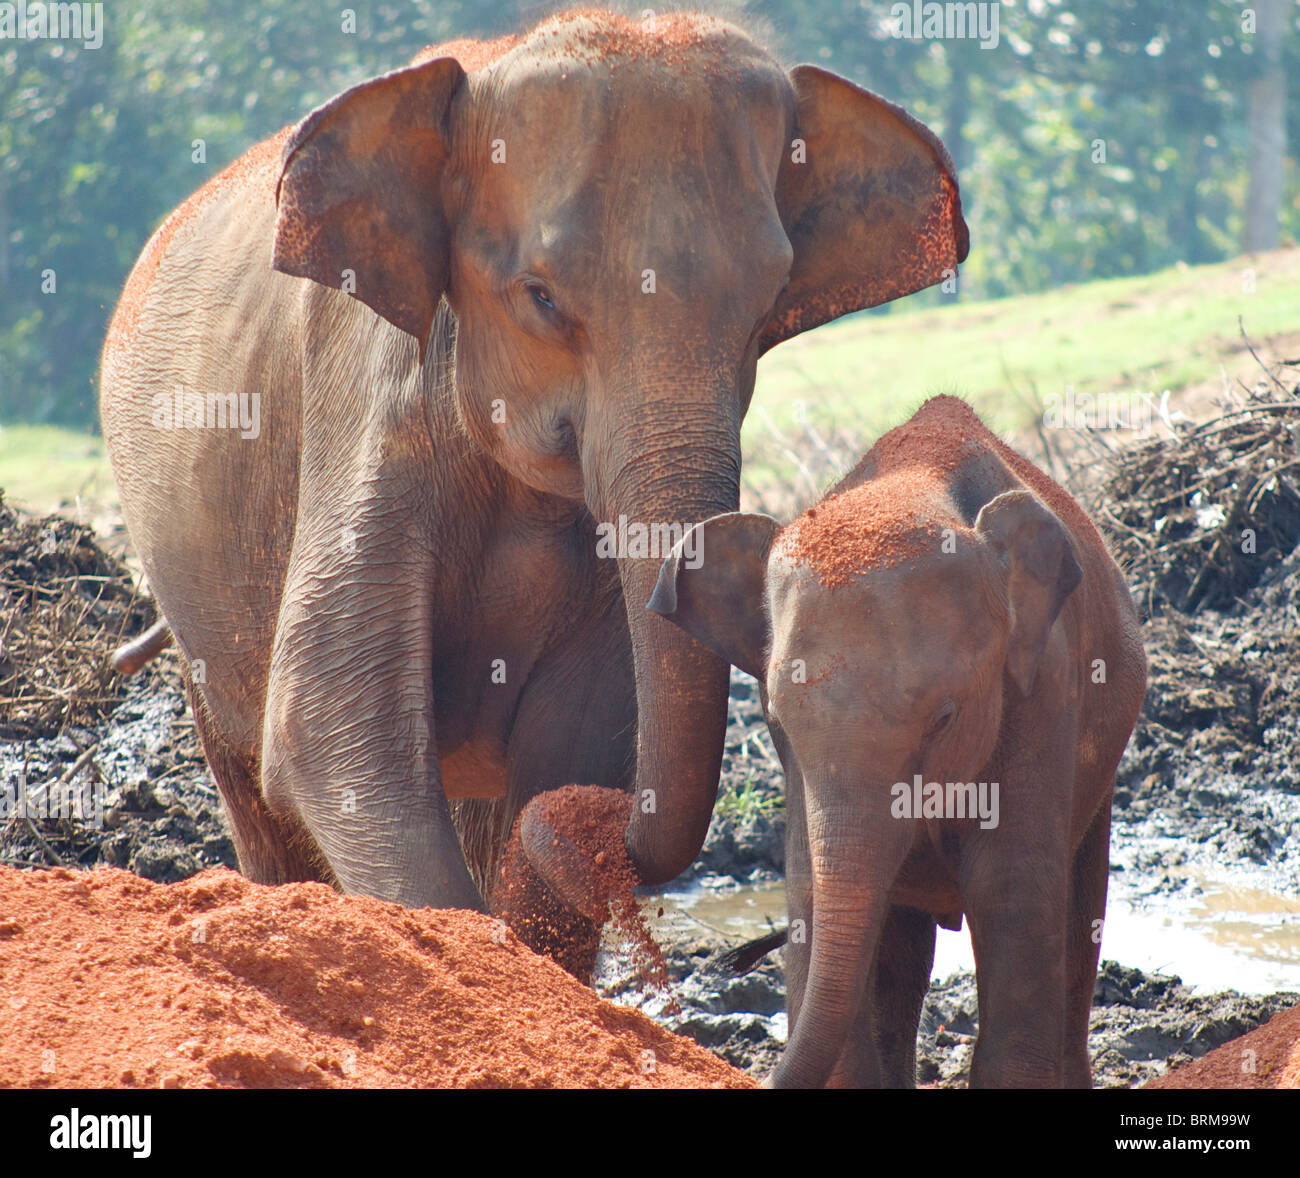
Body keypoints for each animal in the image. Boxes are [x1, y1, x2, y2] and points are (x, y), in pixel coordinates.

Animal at [99, 10, 968, 929]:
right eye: (542, 298)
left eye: (769, 306)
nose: (614, 832)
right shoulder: (368, 409)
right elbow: (332, 727)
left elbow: (575, 737)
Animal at [647, 395, 1147, 1088]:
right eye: (775, 722)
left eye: (945, 719)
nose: (735, 961)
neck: (914, 479)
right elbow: (814, 895)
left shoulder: (1047, 688)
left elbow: (1011, 890)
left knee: (1079, 905)